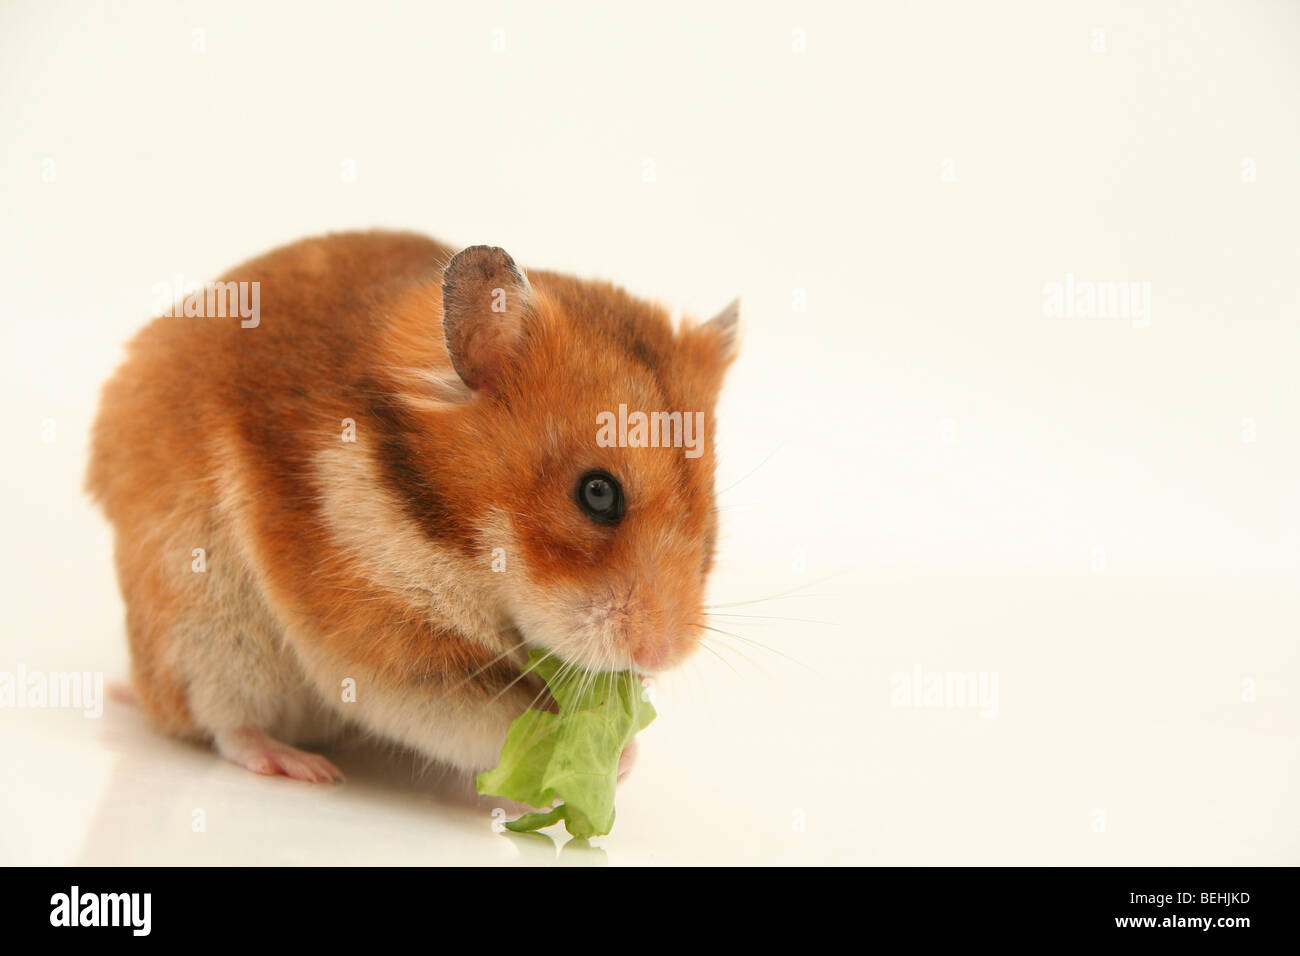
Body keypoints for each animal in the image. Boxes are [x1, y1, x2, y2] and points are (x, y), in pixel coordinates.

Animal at [86, 231, 739, 783]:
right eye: (598, 494)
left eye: (710, 520)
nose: (663, 655)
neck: (450, 534)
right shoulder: (381, 638)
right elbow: (486, 715)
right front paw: (615, 755)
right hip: (204, 626)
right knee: (224, 724)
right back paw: (304, 767)